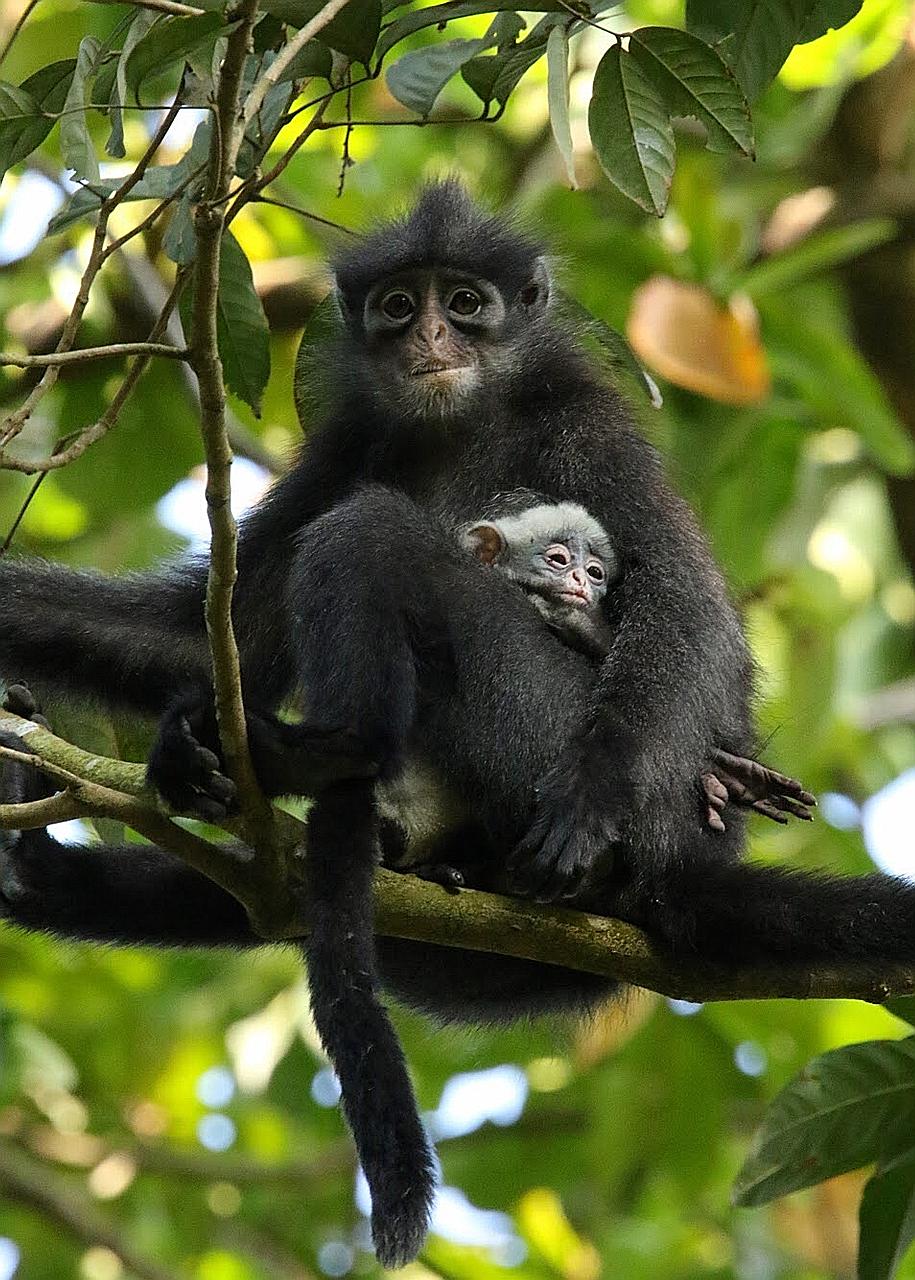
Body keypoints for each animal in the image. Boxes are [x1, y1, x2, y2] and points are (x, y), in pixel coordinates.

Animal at [1, 182, 891, 1270]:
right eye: (398, 306)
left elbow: (690, 619)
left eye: (465, 304)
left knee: (368, 534)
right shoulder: (348, 442)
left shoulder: (582, 417)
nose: (429, 335)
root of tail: (680, 866)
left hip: (540, 728)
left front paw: (602, 795)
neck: (453, 425)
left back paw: (320, 761)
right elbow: (210, 635)